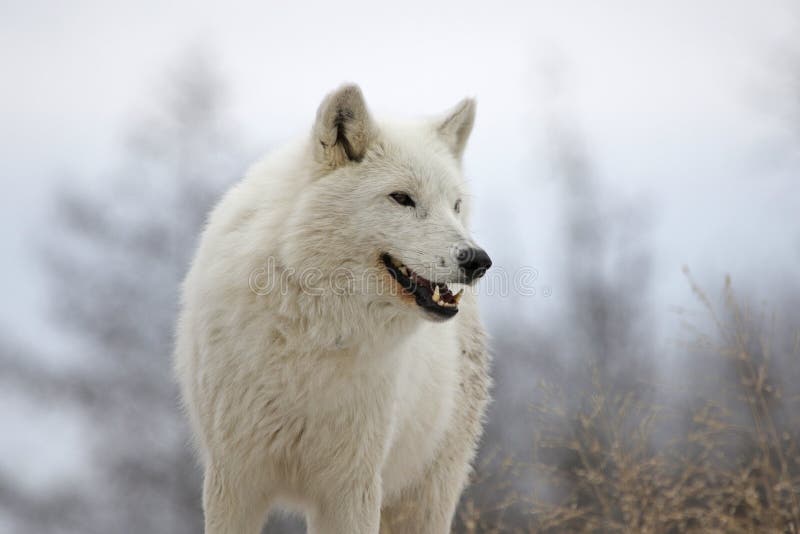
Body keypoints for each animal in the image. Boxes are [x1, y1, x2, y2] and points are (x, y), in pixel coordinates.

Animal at [174, 84, 493, 534]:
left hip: (426, 497)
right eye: (402, 198)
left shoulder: (351, 487)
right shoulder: (233, 480)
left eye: (456, 204)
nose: (477, 259)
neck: (313, 329)